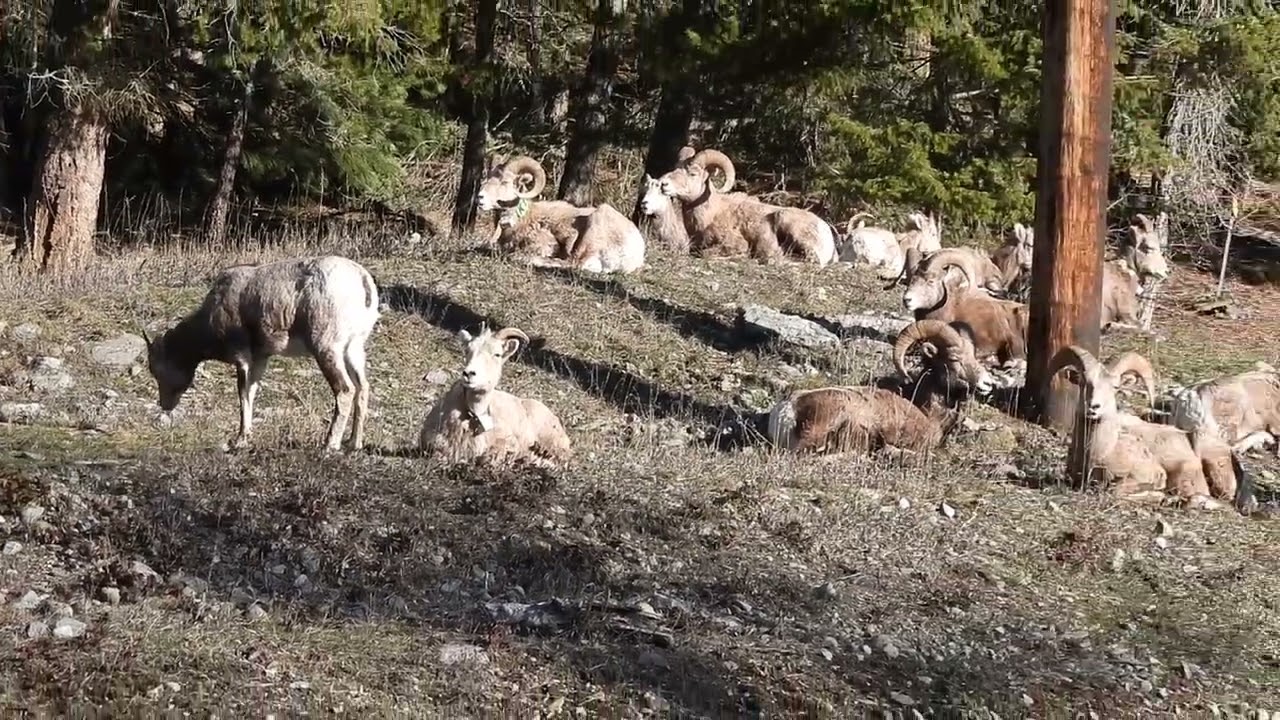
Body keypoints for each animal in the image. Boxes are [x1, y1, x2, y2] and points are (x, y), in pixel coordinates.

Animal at [142, 255, 380, 453]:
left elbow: (243, 394)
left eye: (157, 370)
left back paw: (329, 445)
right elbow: (252, 392)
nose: (165, 405)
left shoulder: (242, 357)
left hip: (326, 348)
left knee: (345, 389)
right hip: (353, 349)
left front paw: (239, 440)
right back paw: (354, 444)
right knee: (362, 387)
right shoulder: (260, 359)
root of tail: (362, 280)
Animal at [476, 156, 646, 274]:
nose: (480, 197)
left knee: (573, 263)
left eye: (504, 182)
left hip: (592, 231)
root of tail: (637, 250)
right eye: (487, 178)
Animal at [657, 148, 837, 266]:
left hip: (786, 220)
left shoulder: (735, 243)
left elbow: (706, 253)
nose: (663, 184)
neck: (711, 215)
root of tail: (828, 234)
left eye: (693, 173)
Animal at [1048, 346, 1243, 508]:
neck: (1102, 451)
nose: (1093, 407)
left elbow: (1116, 491)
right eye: (1083, 383)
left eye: (1115, 387)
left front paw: (1159, 496)